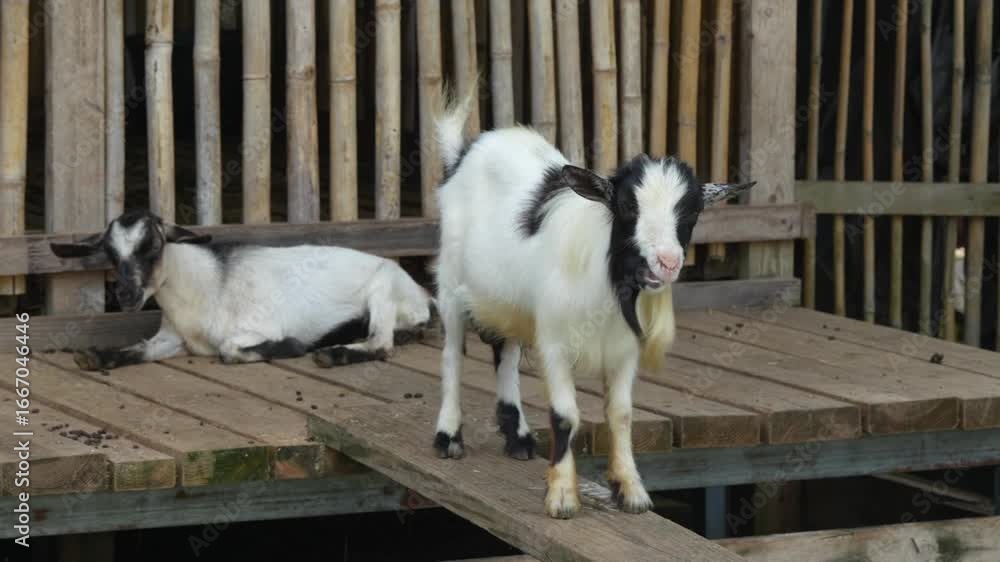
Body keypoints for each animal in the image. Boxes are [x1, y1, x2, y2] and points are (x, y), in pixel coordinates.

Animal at [49, 210, 433, 371]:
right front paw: (96, 357)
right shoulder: (172, 338)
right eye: (111, 253)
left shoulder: (258, 327)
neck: (205, 284)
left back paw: (334, 354)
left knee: (381, 343)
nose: (126, 295)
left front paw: (294, 346)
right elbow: (139, 349)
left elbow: (229, 351)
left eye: (153, 247)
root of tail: (423, 296)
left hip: (383, 288)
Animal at [431, 98, 755, 519]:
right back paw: (448, 436)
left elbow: (621, 413)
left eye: (693, 212)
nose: (666, 263)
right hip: (451, 282)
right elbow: (565, 415)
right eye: (626, 207)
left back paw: (518, 438)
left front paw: (631, 490)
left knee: (506, 353)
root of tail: (467, 152)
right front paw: (562, 497)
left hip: (510, 301)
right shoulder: (554, 342)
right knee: (453, 354)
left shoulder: (624, 349)